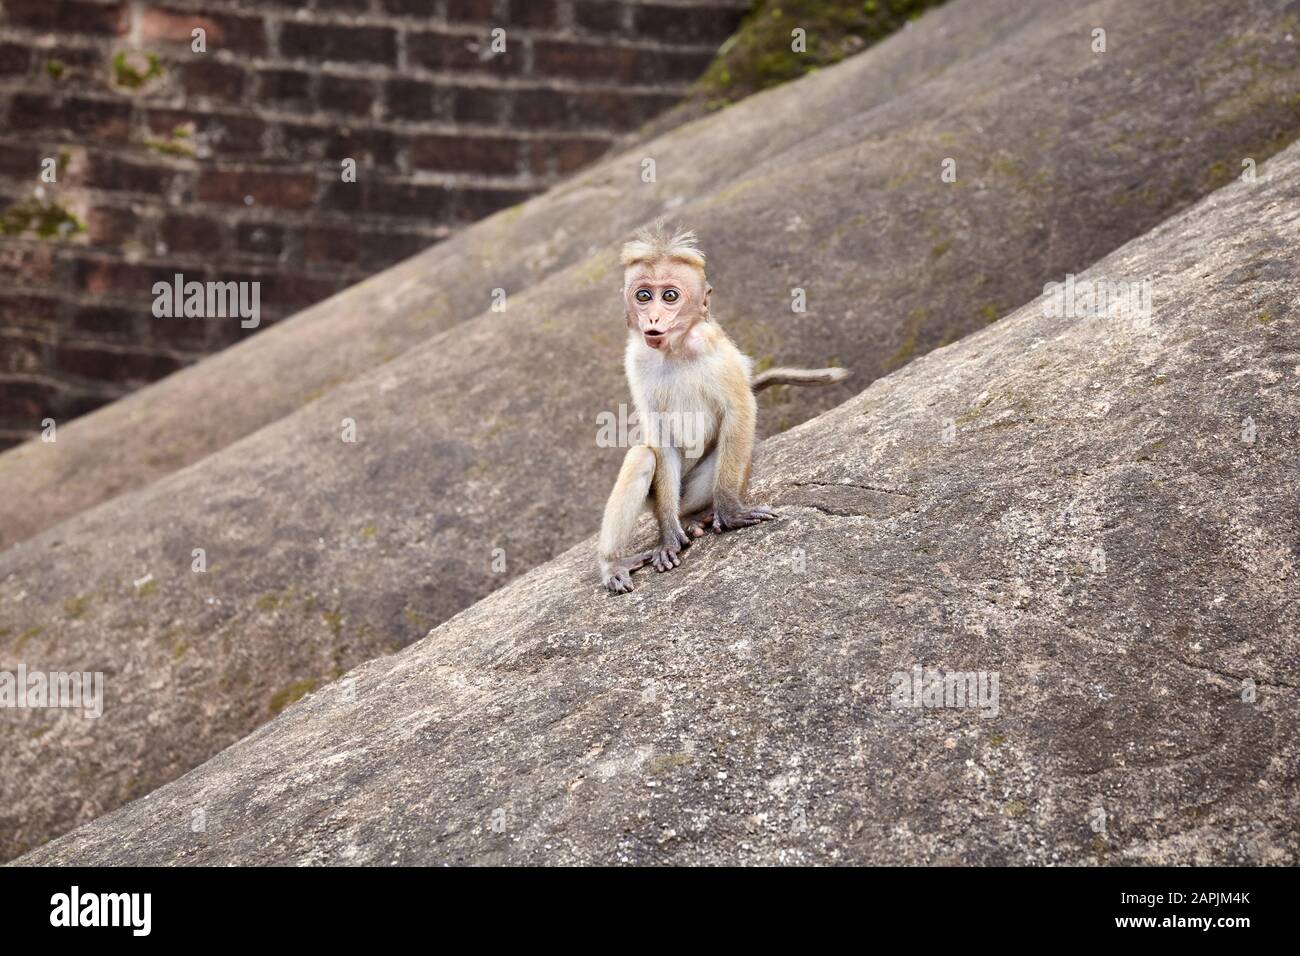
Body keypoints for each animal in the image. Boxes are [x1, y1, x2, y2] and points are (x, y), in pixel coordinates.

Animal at [597, 222, 848, 594]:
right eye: (643, 296)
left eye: (669, 296)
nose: (652, 317)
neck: (676, 349)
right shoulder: (635, 360)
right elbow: (659, 437)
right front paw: (667, 535)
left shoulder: (717, 350)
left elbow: (739, 412)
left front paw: (730, 511)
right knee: (642, 457)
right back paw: (618, 560)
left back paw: (697, 517)